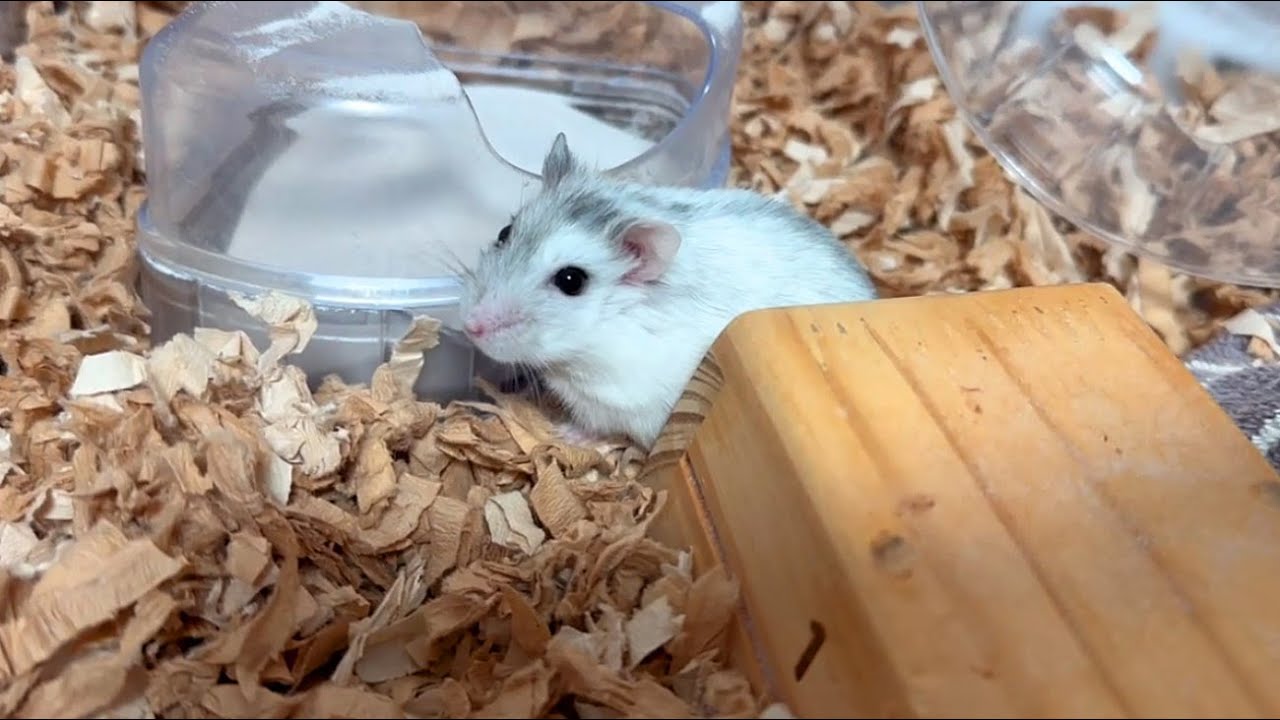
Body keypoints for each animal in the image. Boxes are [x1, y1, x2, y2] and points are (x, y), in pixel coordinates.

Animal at [459, 133, 880, 450]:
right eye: (504, 233)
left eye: (571, 281)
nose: (470, 326)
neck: (598, 336)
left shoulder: (615, 399)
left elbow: (596, 425)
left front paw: (562, 434)